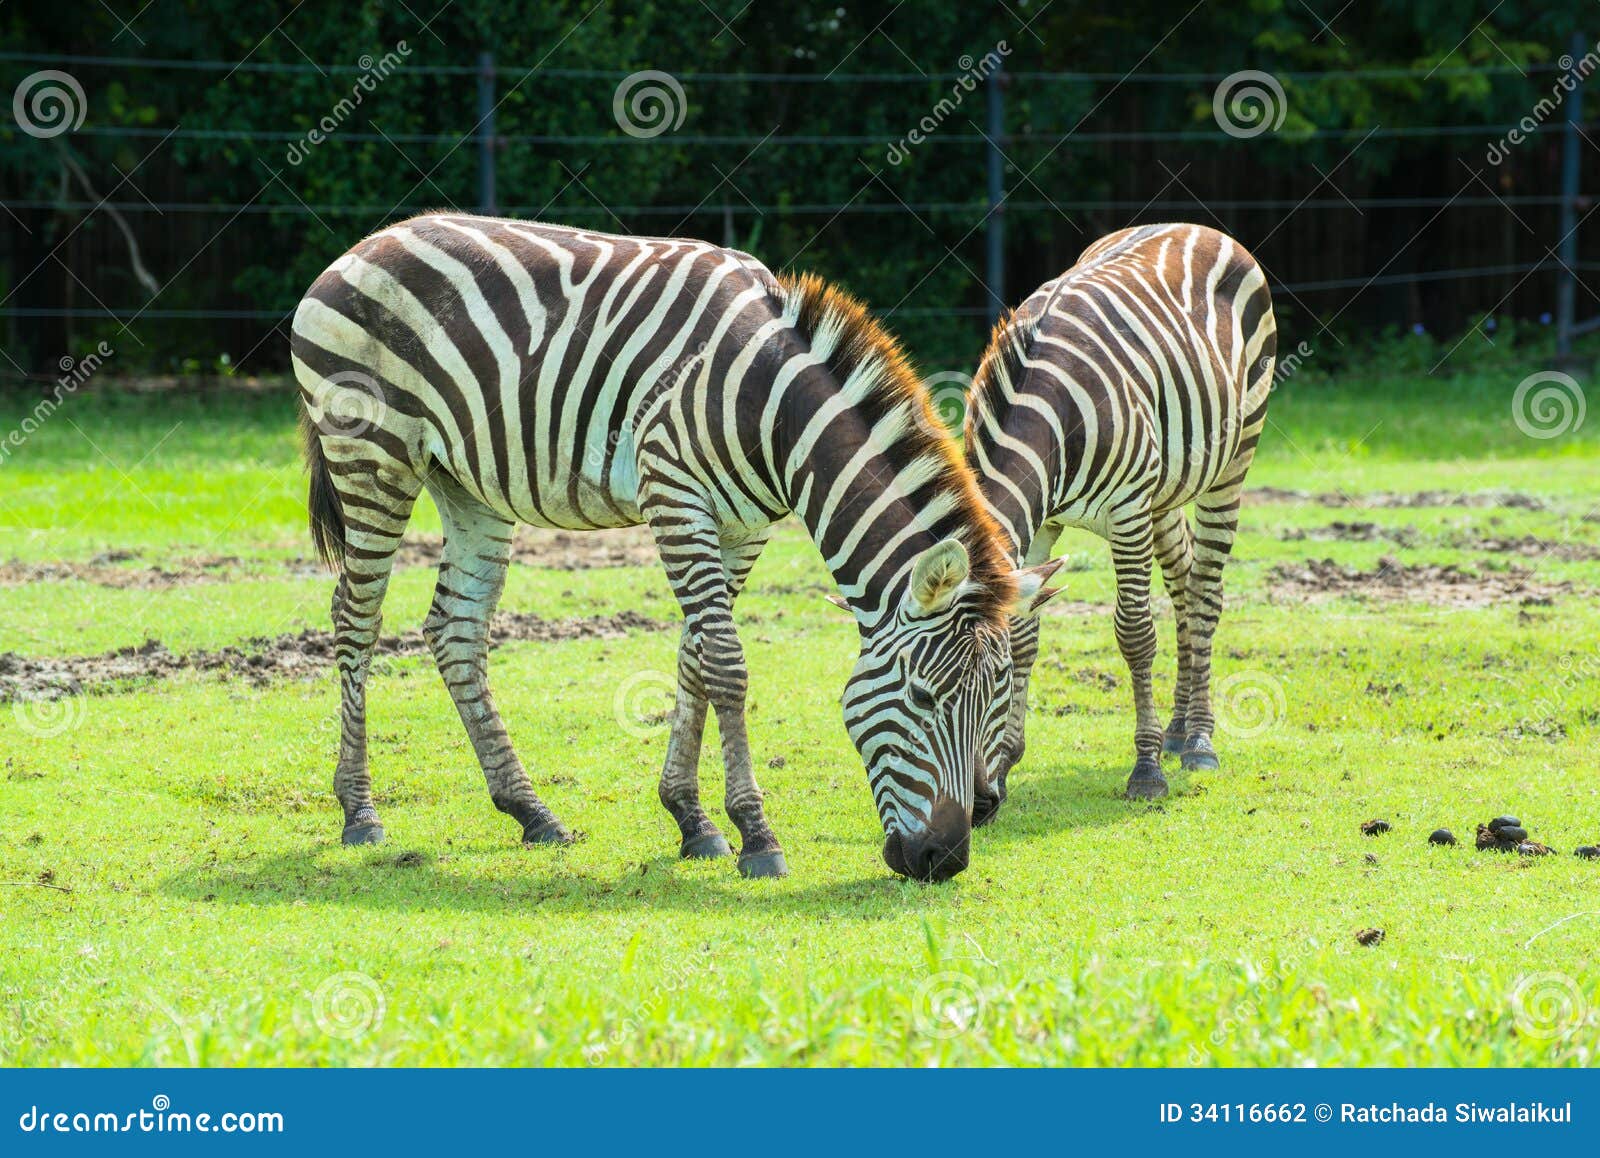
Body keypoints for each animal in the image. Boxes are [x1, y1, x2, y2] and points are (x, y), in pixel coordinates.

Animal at [291, 214, 1054, 881]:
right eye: (923, 698)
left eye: (996, 696)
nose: (944, 860)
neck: (774, 413)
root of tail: (370, 242)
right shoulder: (675, 497)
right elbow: (727, 665)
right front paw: (756, 836)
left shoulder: (743, 527)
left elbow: (694, 657)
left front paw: (692, 820)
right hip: (373, 456)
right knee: (355, 619)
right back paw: (359, 811)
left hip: (468, 486)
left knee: (454, 630)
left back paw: (531, 810)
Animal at [964, 223, 1276, 803]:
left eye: (987, 684)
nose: (977, 801)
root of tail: (1196, 226)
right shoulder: (1042, 523)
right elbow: (1025, 635)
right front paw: (1008, 758)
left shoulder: (1128, 510)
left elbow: (1134, 633)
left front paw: (1147, 769)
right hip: (1166, 489)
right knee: (1183, 581)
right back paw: (1178, 729)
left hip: (1234, 456)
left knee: (1205, 590)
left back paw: (1198, 741)